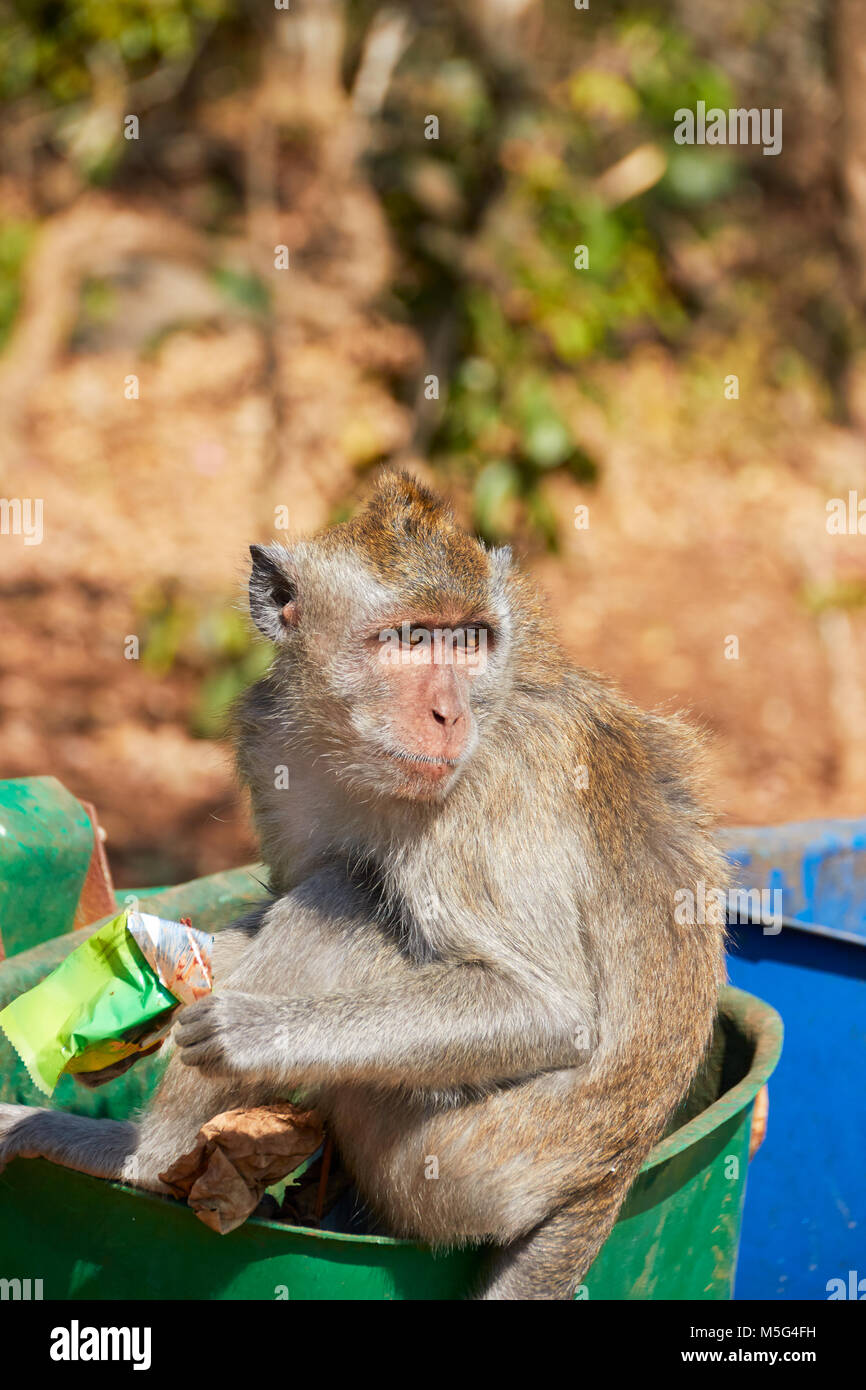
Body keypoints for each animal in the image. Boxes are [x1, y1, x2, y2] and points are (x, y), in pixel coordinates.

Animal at [0, 471, 727, 1300]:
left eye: (468, 639)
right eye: (411, 637)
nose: (448, 714)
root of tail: (609, 1171)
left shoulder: (486, 790)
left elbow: (548, 1010)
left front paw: (253, 1031)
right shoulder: (271, 741)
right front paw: (142, 987)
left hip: (465, 1156)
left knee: (340, 905)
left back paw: (138, 1160)